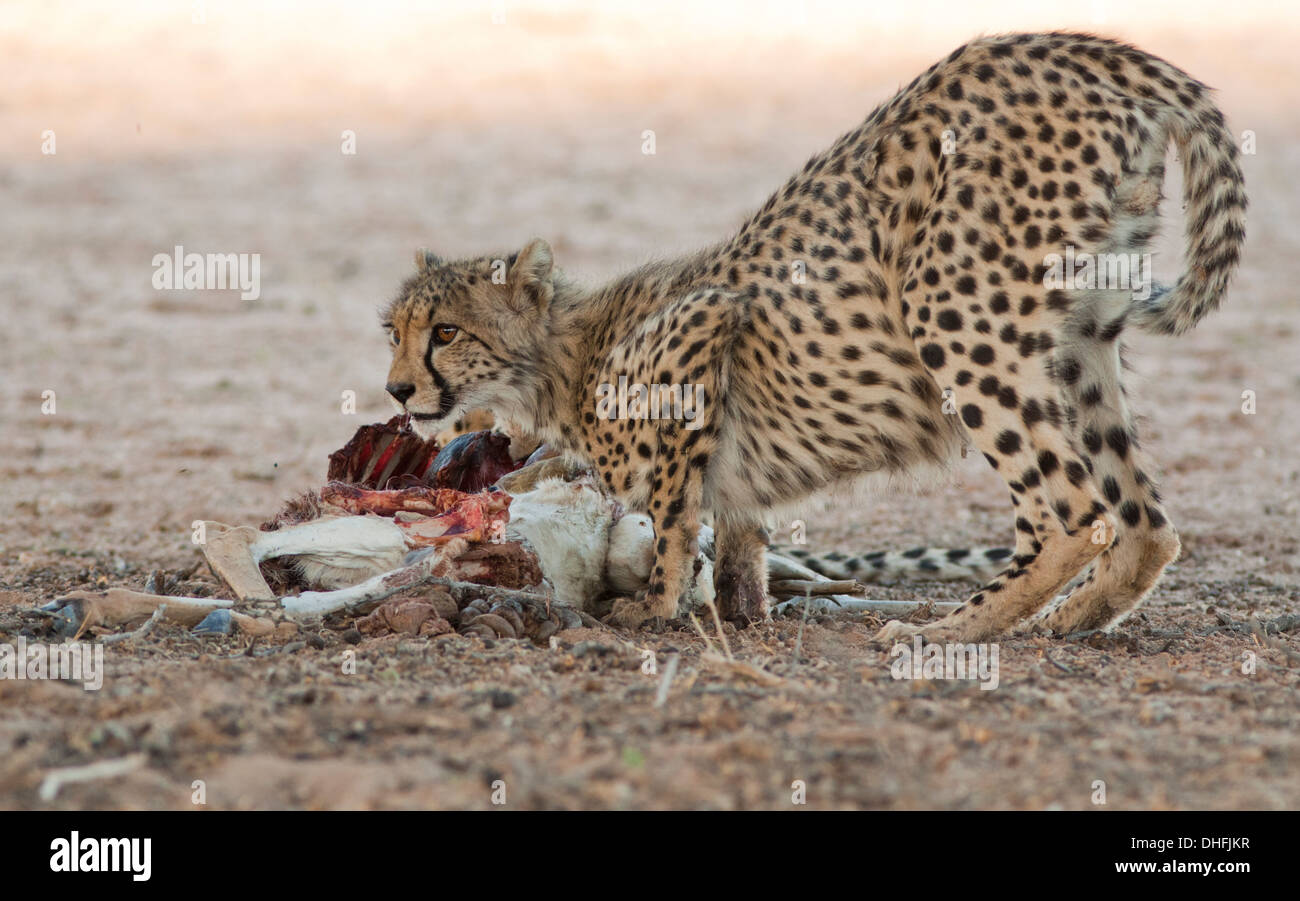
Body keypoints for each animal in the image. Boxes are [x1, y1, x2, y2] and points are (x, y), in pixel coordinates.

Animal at [380, 32, 1246, 641]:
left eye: (446, 331)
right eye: (394, 330)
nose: (395, 388)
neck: (559, 360)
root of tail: (1091, 47)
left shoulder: (703, 326)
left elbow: (671, 513)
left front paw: (655, 604)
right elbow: (736, 534)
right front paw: (738, 607)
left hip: (951, 308)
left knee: (1074, 514)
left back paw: (949, 630)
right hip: (1083, 330)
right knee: (1147, 525)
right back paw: (1069, 620)